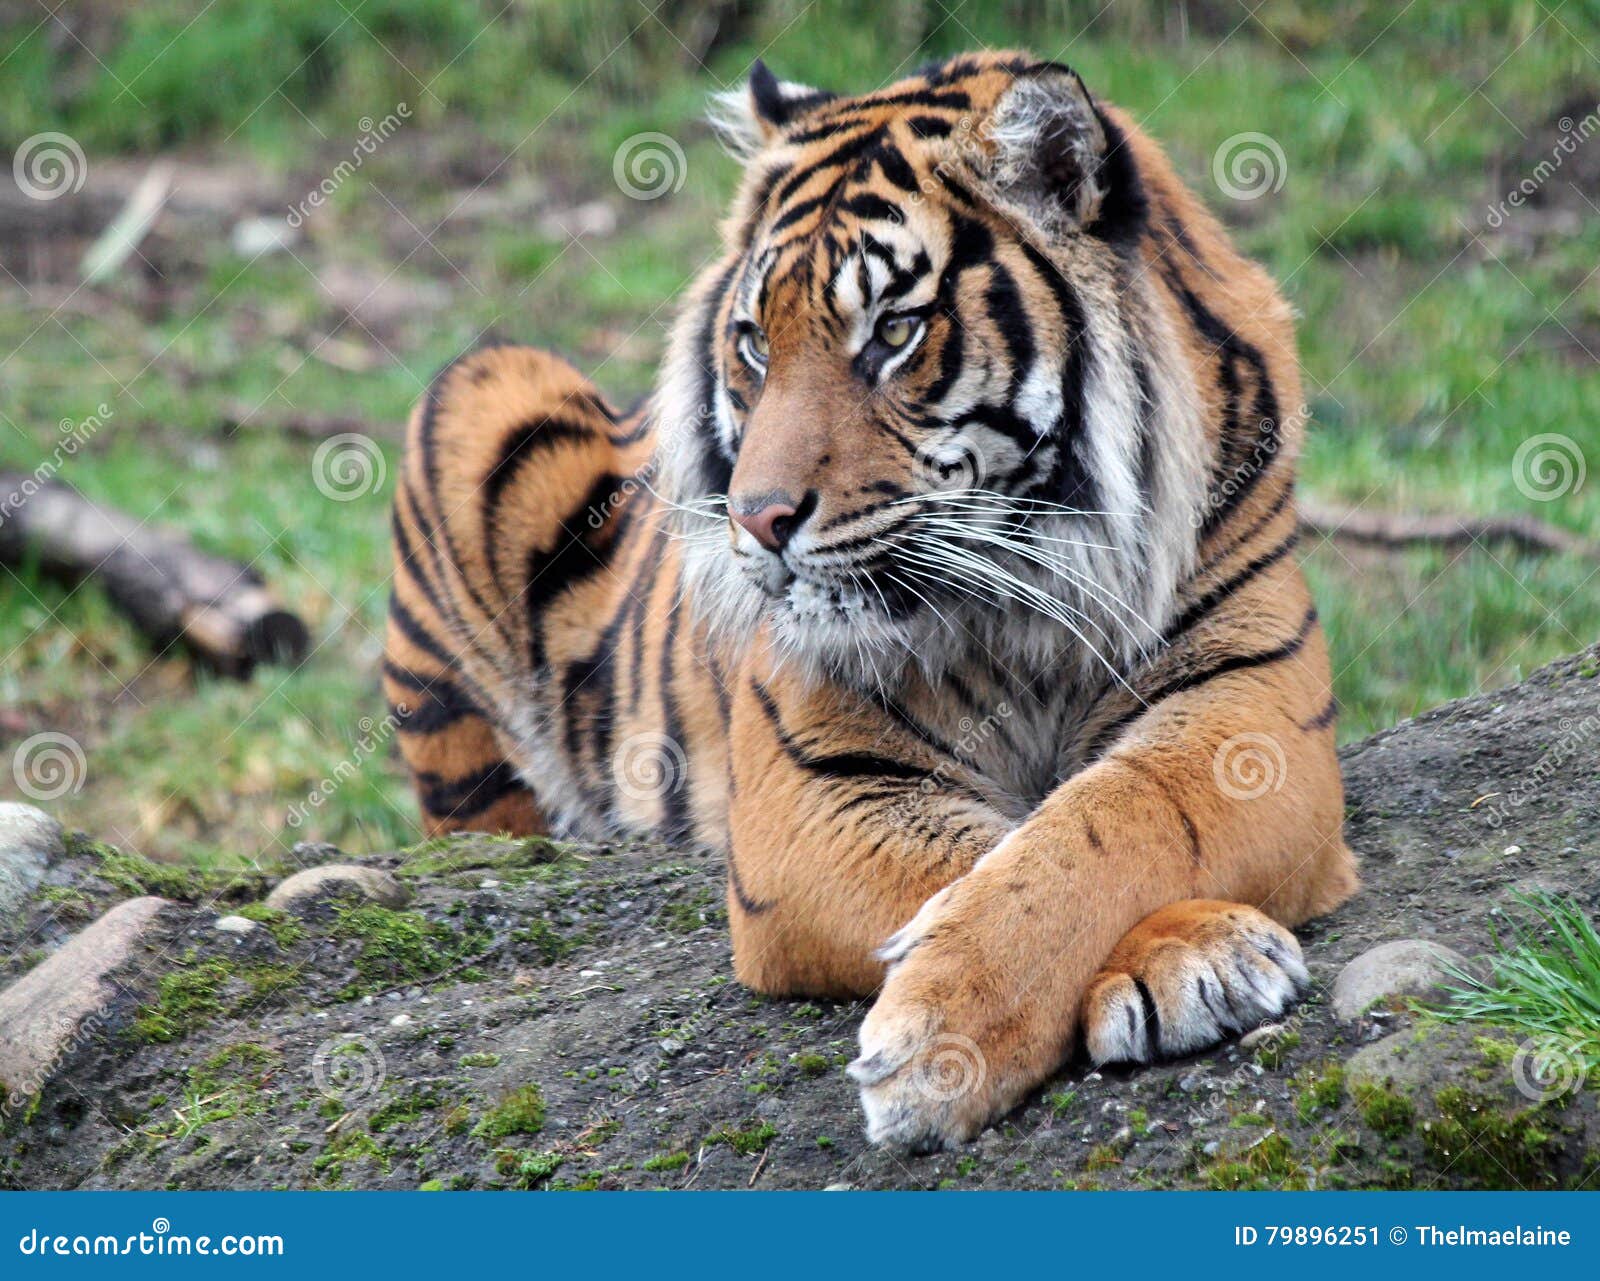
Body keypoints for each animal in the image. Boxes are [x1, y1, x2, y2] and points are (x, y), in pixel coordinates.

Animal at [382, 50, 1358, 1151]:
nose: (756, 518)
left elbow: (1105, 827)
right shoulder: (805, 791)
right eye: (755, 342)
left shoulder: (1251, 714)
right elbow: (989, 857)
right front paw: (963, 1036)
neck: (1023, 592)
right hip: (483, 388)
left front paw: (1189, 954)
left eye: (893, 331)